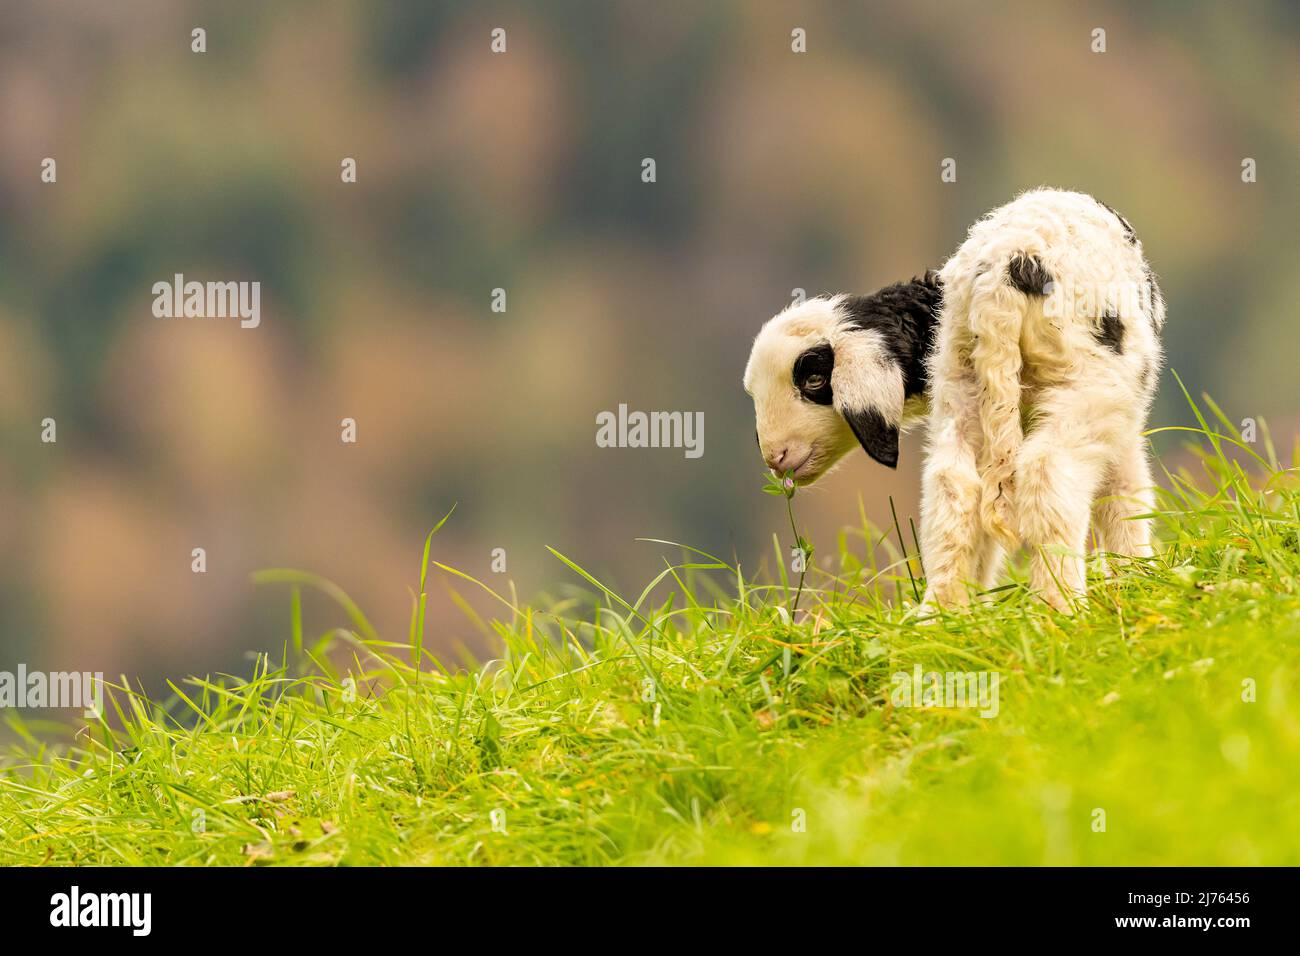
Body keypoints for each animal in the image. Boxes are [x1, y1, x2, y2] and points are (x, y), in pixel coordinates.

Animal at [743, 187, 1163, 612]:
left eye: (814, 380)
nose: (775, 456)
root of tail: (1003, 276)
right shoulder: (1118, 420)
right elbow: (1125, 495)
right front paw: (1136, 579)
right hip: (1088, 383)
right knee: (1047, 472)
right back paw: (1059, 606)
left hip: (965, 386)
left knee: (953, 486)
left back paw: (945, 609)